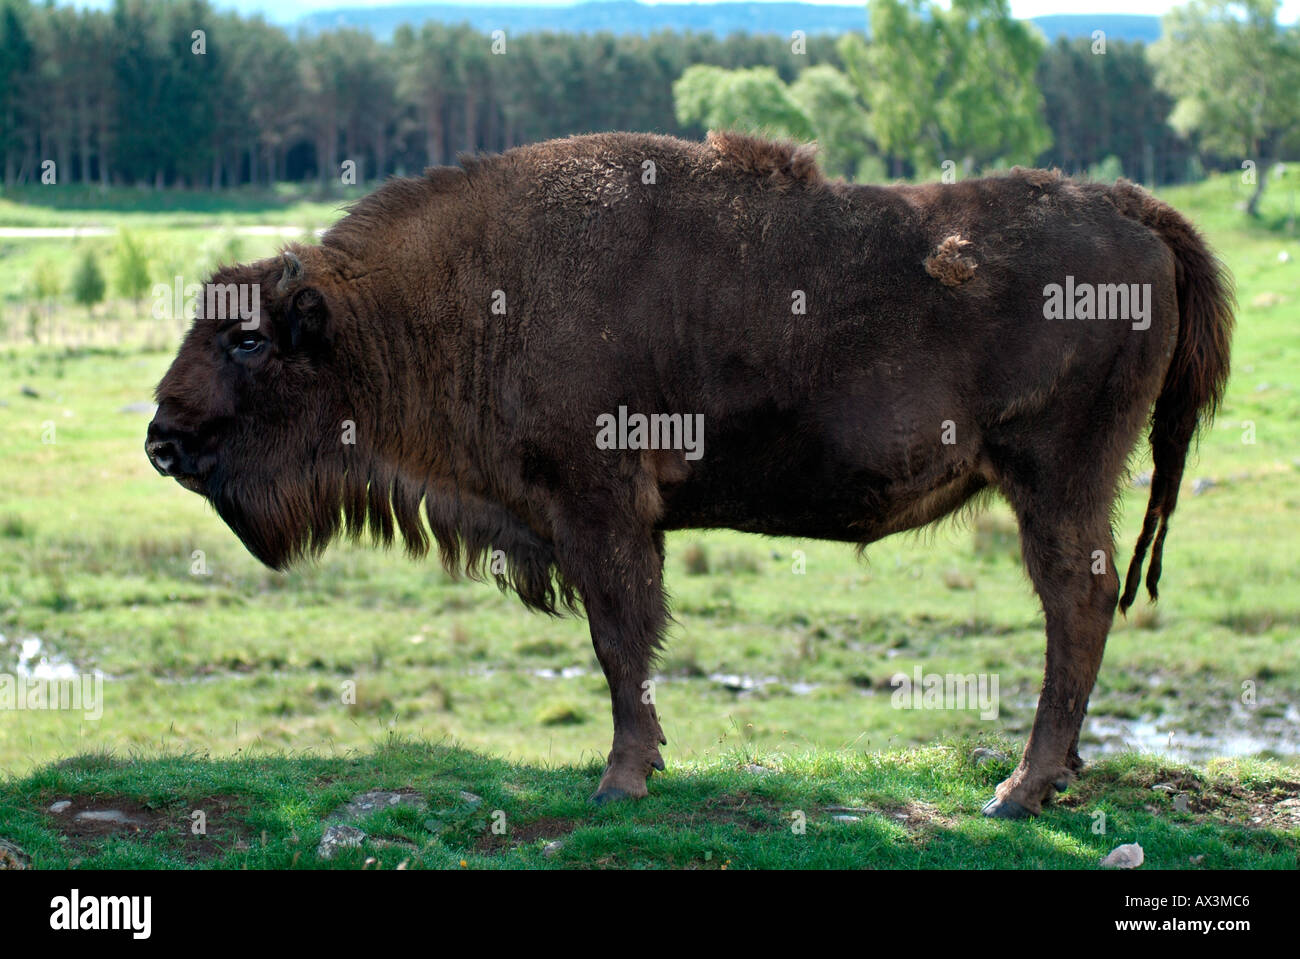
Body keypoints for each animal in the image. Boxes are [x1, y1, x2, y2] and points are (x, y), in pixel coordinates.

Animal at [147, 131, 1233, 817]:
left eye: (248, 339)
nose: (162, 438)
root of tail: (1137, 212)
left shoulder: (601, 511)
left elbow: (620, 642)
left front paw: (620, 779)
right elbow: (626, 643)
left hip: (1056, 480)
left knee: (1075, 604)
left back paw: (1018, 788)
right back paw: (1051, 774)